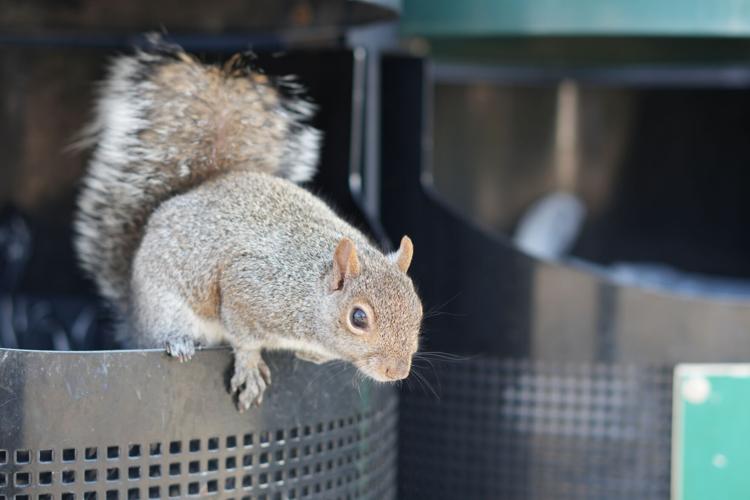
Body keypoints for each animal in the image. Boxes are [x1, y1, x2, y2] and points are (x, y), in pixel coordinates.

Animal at [74, 40, 423, 410]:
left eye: (418, 310)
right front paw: (250, 366)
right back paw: (179, 340)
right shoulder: (250, 288)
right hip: (162, 303)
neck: (309, 289)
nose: (396, 371)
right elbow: (243, 335)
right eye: (358, 318)